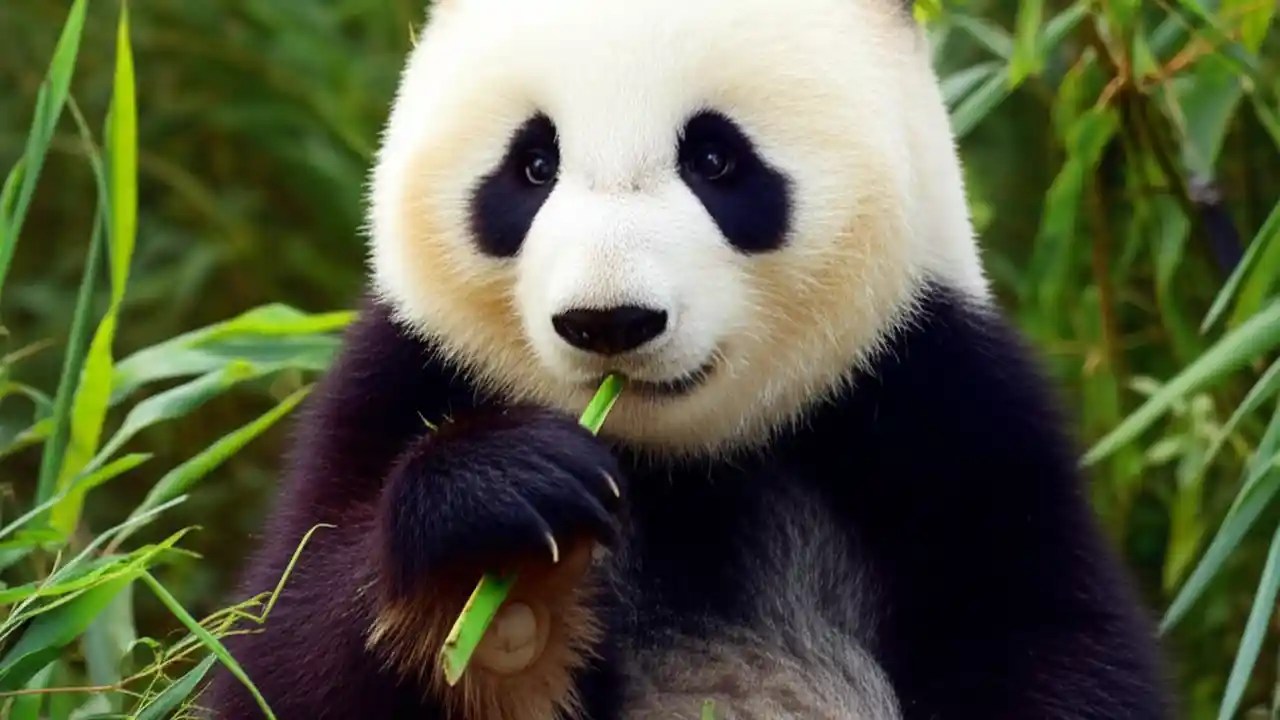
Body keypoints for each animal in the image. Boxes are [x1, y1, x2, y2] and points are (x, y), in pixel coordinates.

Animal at [206, 0, 1174, 718]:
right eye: (532, 165)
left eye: (715, 158)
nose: (609, 322)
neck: (672, 462)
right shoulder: (399, 375)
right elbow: (280, 653)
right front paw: (502, 561)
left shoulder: (949, 411)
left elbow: (1056, 645)